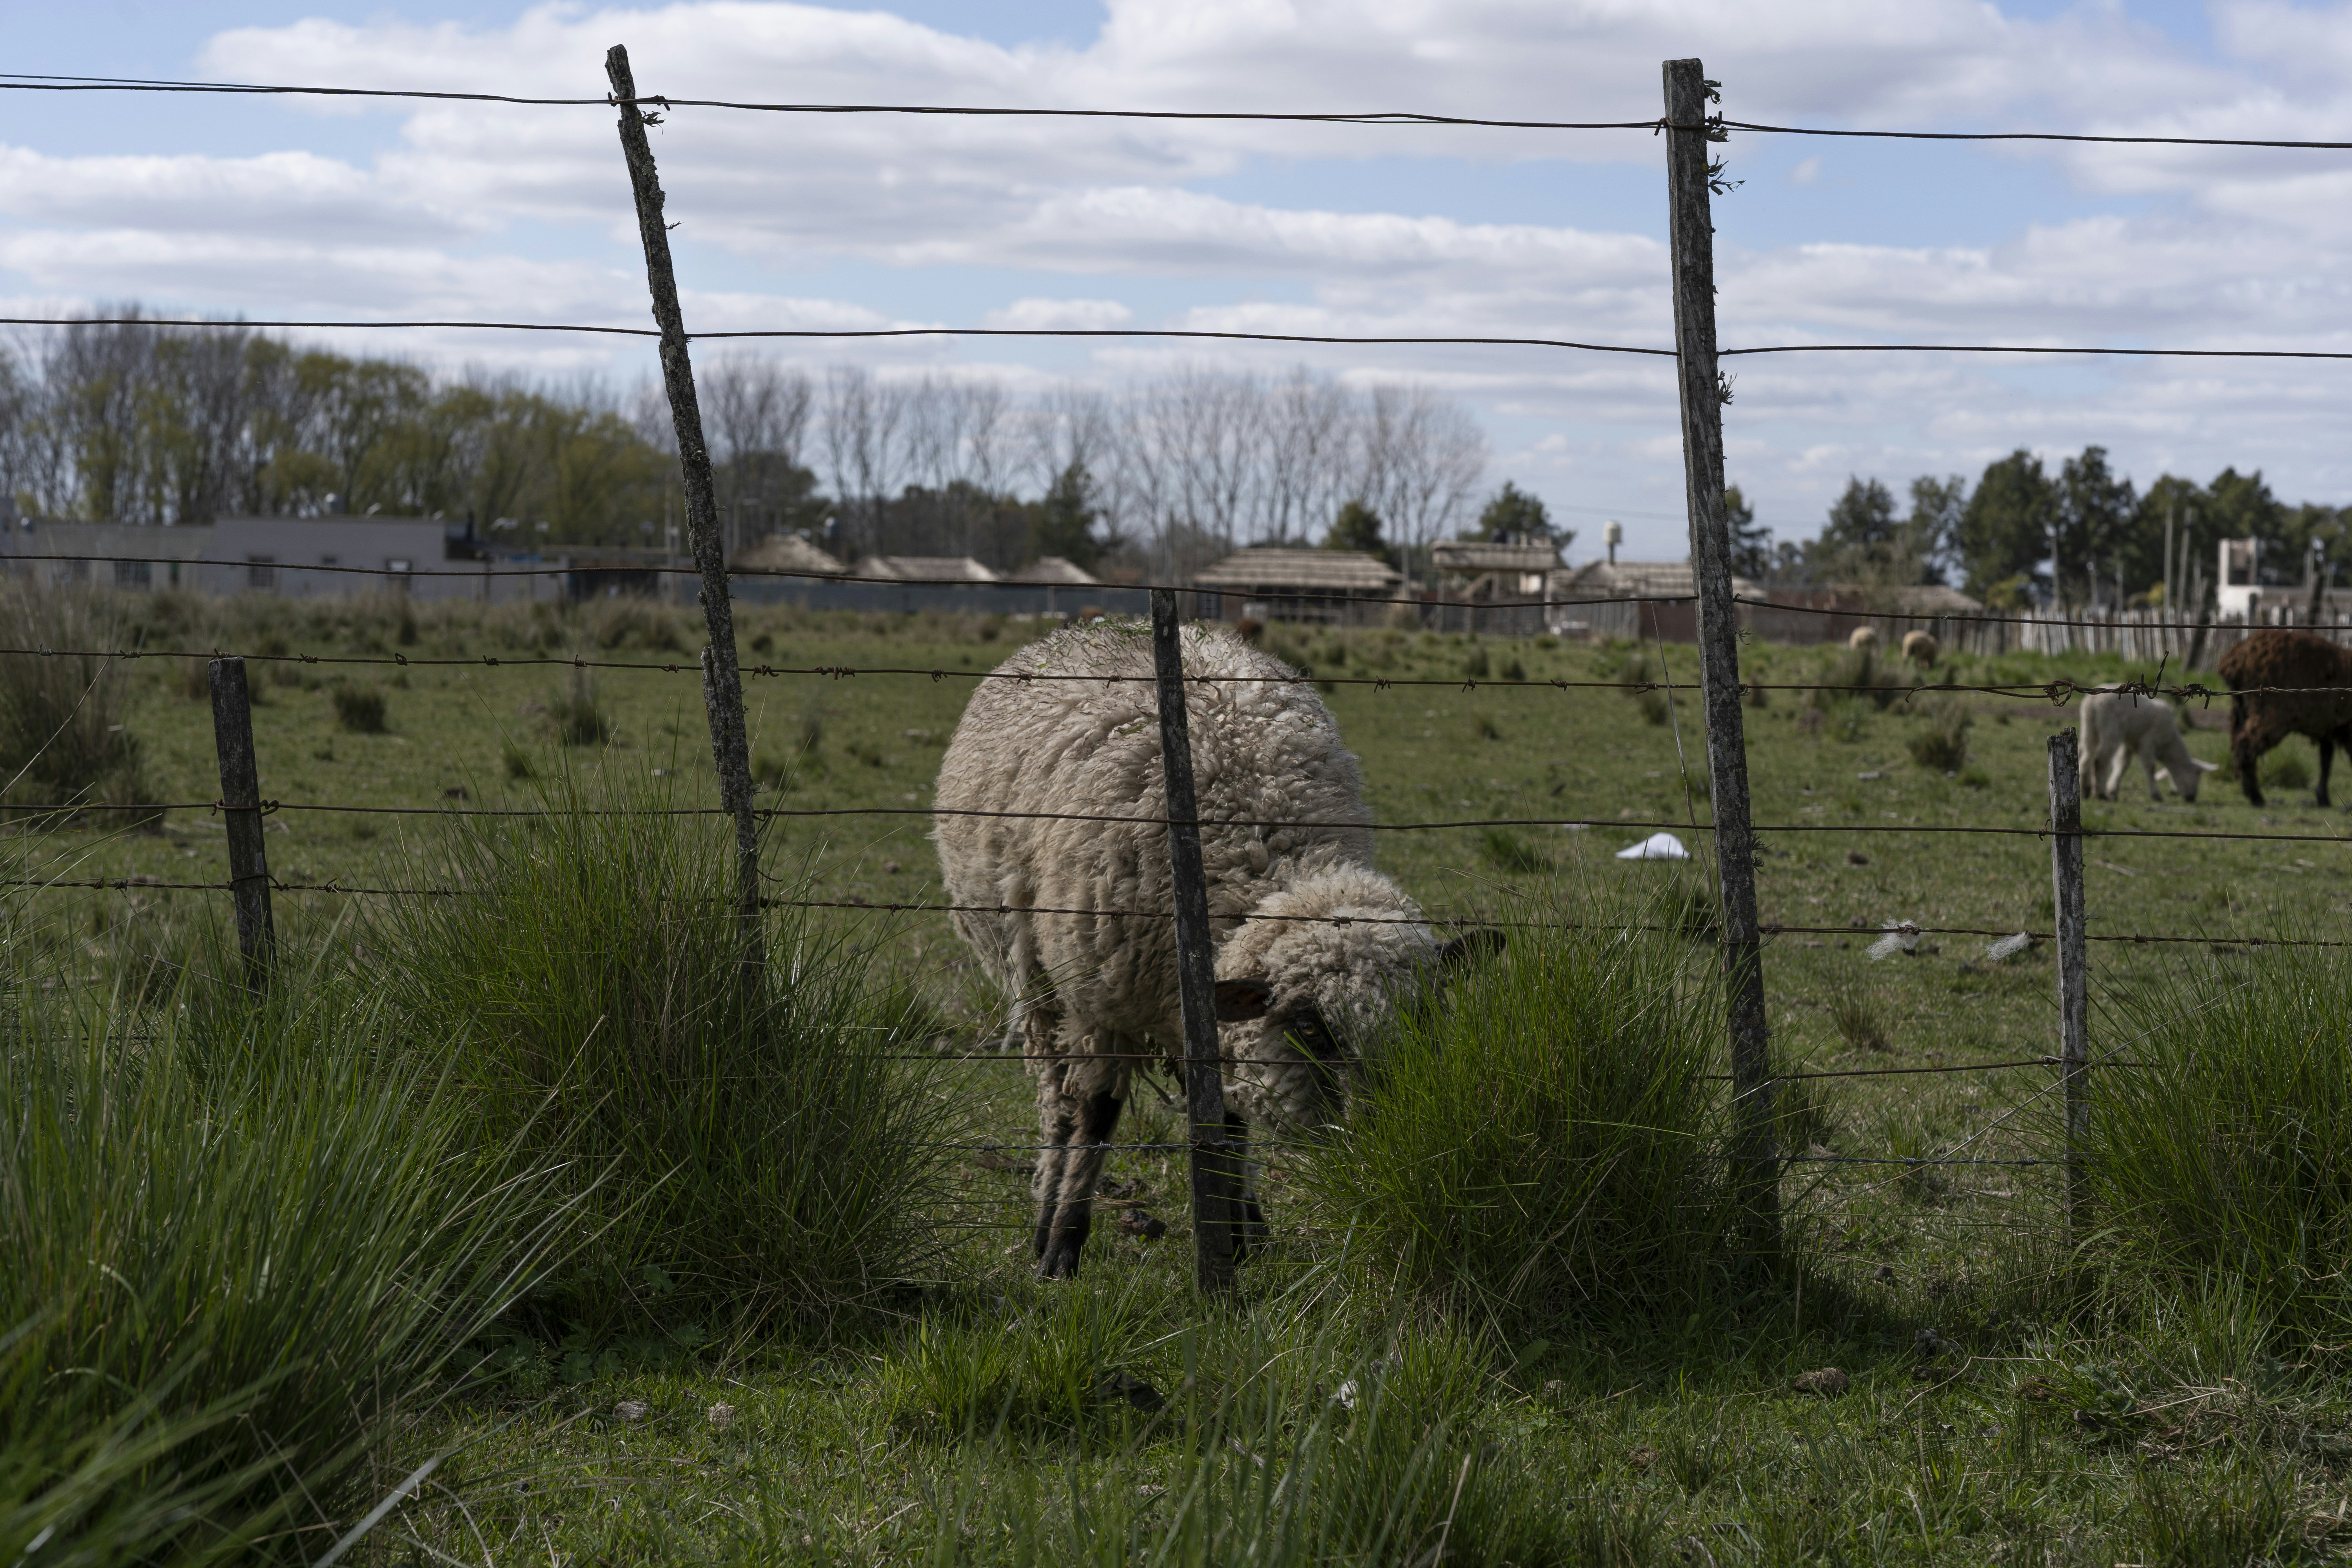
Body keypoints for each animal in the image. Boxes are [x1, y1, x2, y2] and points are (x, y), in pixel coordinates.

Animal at [934, 620, 1490, 1279]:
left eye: (1427, 1014)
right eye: (1311, 1027)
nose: (1390, 1136)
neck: (1253, 843)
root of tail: (1084, 628)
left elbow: (1229, 1120)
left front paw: (1240, 1238)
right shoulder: (1101, 1004)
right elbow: (1097, 1115)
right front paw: (1064, 1247)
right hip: (1037, 978)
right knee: (1059, 1102)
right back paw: (1047, 1210)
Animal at [2079, 687, 2215, 802]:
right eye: (2197, 776)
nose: (2191, 798)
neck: (2168, 746)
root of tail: (2092, 703)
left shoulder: (2130, 743)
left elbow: (2123, 765)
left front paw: (2113, 791)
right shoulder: (2148, 742)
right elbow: (2150, 768)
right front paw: (2156, 795)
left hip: (2089, 727)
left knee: (2087, 756)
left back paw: (2085, 789)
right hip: (2111, 730)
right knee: (2100, 761)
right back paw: (2099, 794)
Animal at [2217, 629, 2352, 807]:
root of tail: (2237, 658)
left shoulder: (2328, 726)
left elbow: (2326, 760)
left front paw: (2323, 798)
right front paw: (2324, 798)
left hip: (2241, 708)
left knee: (2237, 743)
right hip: (2271, 711)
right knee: (2246, 745)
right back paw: (2256, 797)